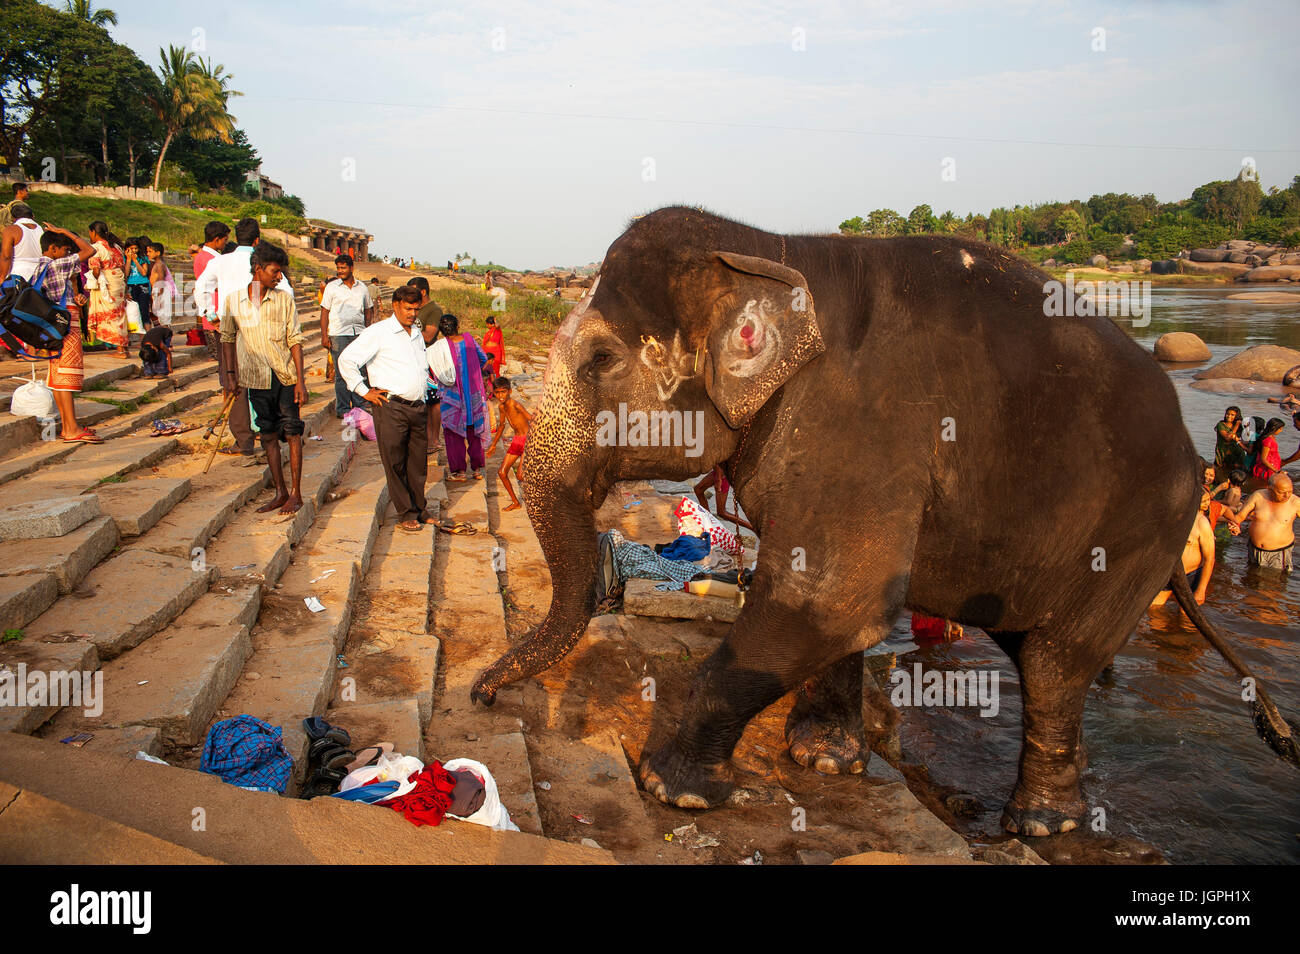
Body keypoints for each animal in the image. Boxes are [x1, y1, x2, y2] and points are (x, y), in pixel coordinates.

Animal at [470, 206, 1213, 836]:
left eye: (601, 360)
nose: (480, 695)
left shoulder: (866, 424)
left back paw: (1040, 825)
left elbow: (829, 595)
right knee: (1040, 657)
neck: (766, 249)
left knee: (1057, 662)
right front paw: (823, 759)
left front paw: (672, 789)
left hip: (1141, 533)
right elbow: (829, 603)